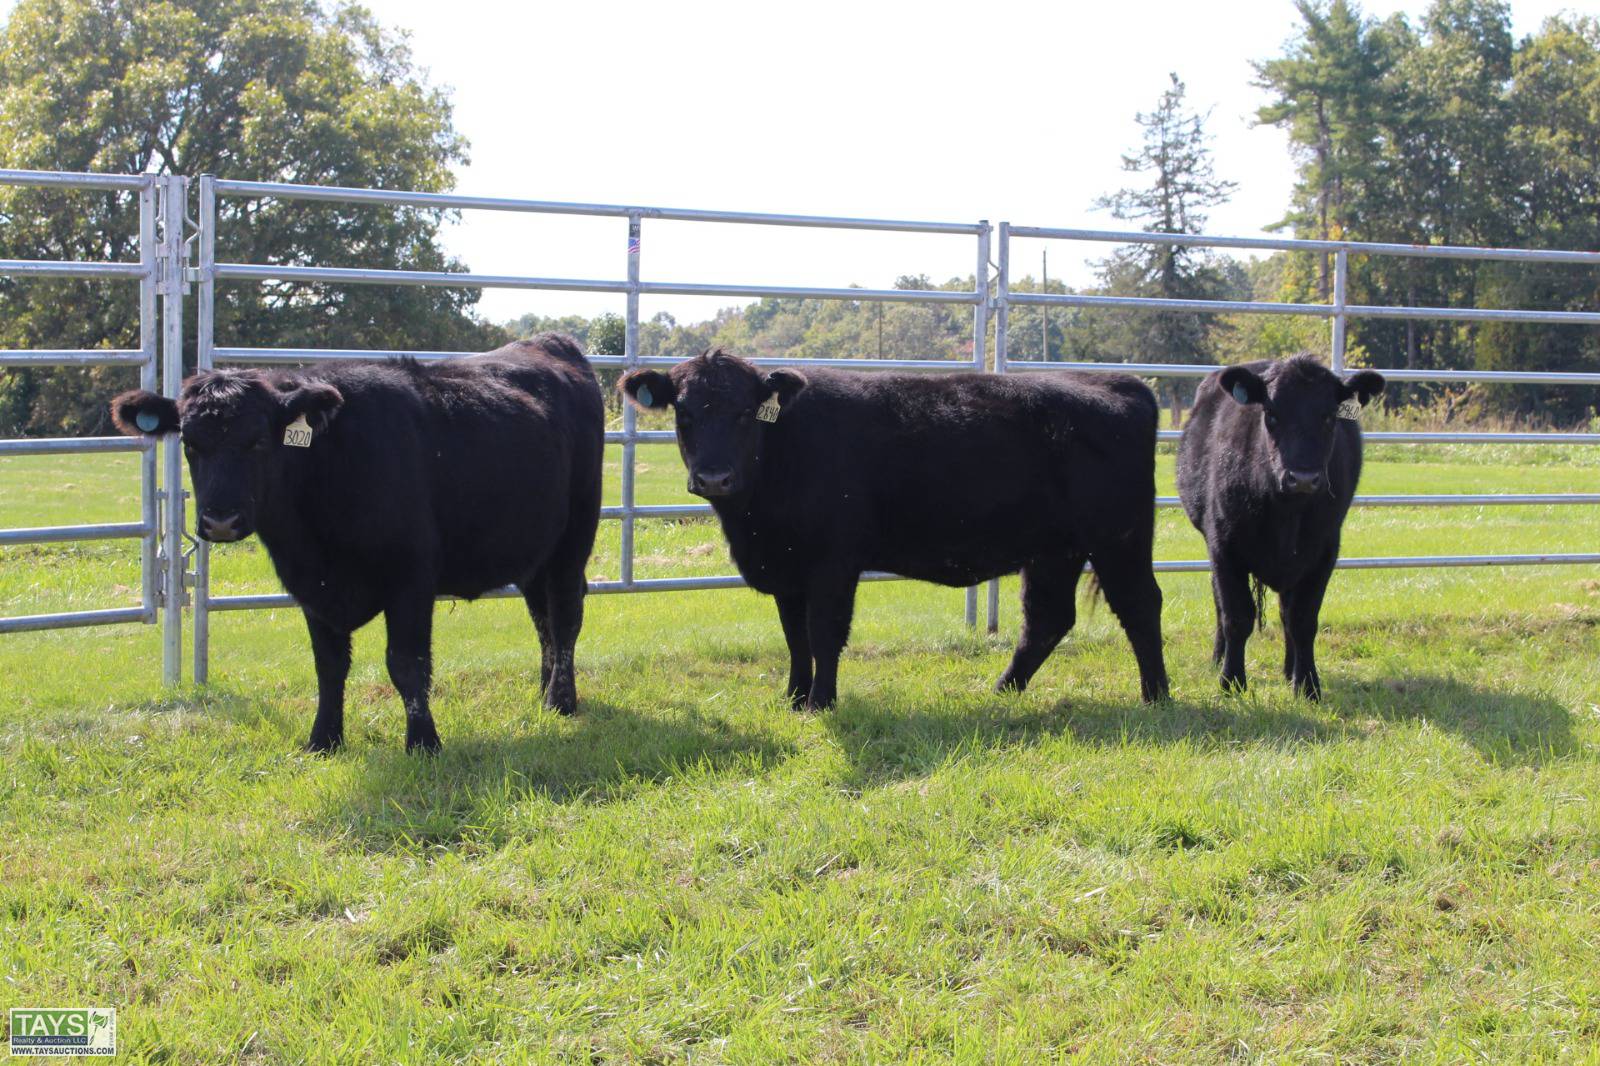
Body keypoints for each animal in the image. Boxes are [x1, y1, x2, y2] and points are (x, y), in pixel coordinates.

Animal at [110, 334, 604, 753]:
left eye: (258, 442)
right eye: (190, 444)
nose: (220, 521)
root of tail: (549, 343)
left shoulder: (411, 577)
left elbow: (406, 662)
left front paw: (423, 743)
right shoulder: (310, 586)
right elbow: (329, 666)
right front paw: (323, 739)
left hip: (573, 538)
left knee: (565, 617)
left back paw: (560, 701)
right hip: (534, 553)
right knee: (543, 620)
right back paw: (546, 691)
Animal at [621, 348, 1169, 708]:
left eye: (744, 413)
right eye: (683, 412)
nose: (714, 477)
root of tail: (1121, 384)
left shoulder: (833, 563)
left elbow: (823, 634)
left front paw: (821, 702)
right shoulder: (786, 567)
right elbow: (794, 637)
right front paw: (793, 698)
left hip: (1118, 539)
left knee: (1140, 605)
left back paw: (1156, 696)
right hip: (1054, 550)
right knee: (1046, 620)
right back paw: (1002, 691)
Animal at [1176, 353, 1385, 699]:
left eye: (1329, 416)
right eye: (1271, 414)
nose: (1302, 478)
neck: (1286, 514)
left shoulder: (1324, 552)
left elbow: (1302, 619)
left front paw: (1307, 685)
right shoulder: (1223, 546)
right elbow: (1236, 616)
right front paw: (1231, 681)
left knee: (1287, 610)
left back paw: (1290, 670)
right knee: (1220, 601)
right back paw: (1219, 658)